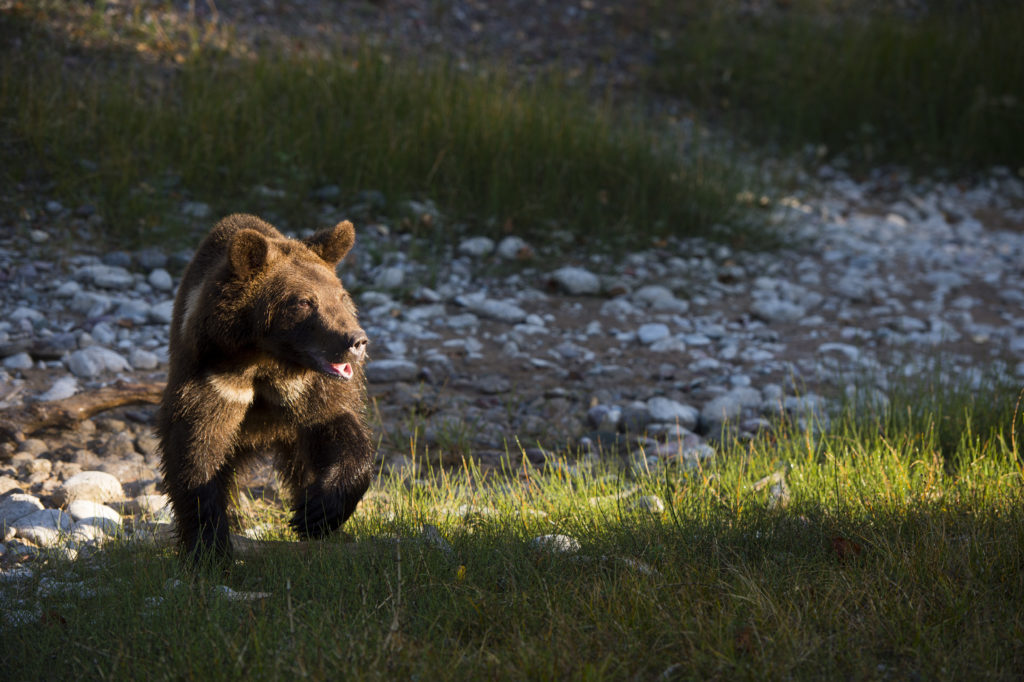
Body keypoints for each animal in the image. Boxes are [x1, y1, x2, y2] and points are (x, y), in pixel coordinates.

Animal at [157, 213, 373, 566]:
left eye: (341, 297)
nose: (356, 341)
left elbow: (337, 429)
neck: (264, 361)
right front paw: (210, 548)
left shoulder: (308, 389)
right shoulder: (215, 381)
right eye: (305, 301)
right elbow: (197, 452)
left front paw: (315, 514)